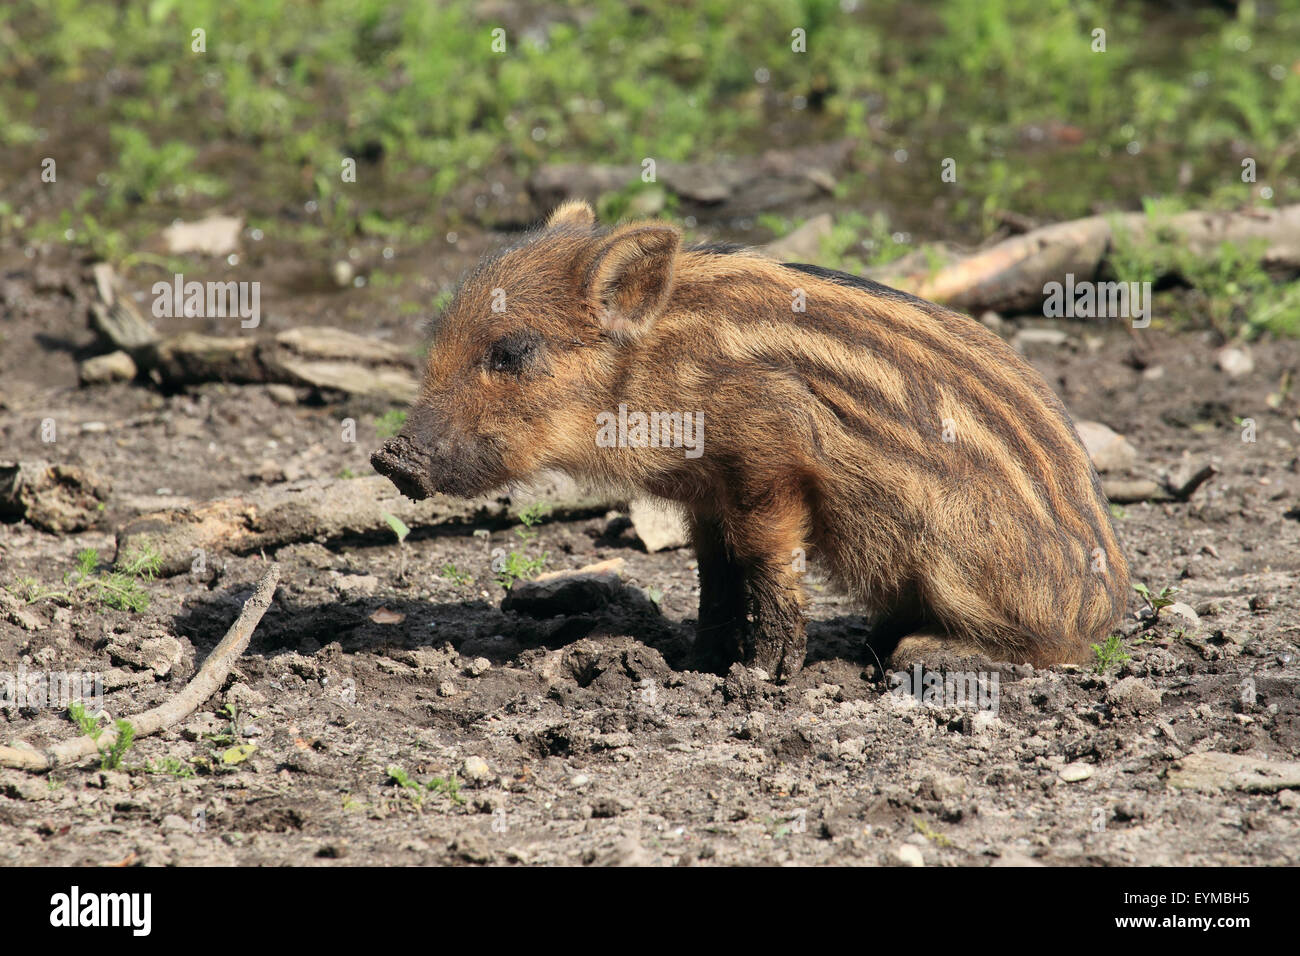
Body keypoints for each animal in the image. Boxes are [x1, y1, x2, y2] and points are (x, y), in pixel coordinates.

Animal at [372, 200, 1130, 679]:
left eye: (511, 352)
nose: (390, 457)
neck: (653, 373)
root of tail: (1105, 605)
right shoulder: (705, 494)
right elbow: (714, 574)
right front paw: (697, 665)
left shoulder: (773, 460)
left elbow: (769, 564)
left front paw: (762, 676)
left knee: (1052, 651)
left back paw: (916, 652)